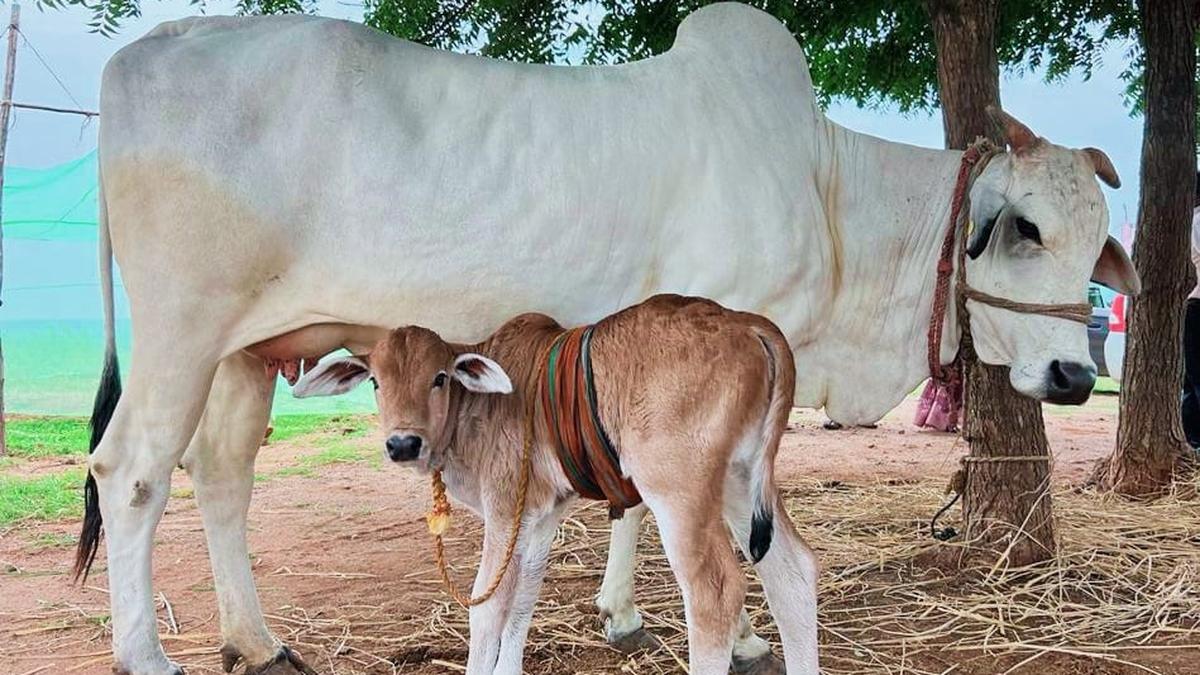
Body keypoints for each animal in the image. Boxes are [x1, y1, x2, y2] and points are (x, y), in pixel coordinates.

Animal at [289, 295, 816, 674]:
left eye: (439, 378)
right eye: (375, 382)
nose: (402, 444)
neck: (478, 407)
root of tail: (746, 324)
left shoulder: (504, 510)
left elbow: (487, 608)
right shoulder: (539, 515)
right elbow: (523, 598)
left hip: (679, 490)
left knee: (714, 592)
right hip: (739, 479)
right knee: (792, 571)